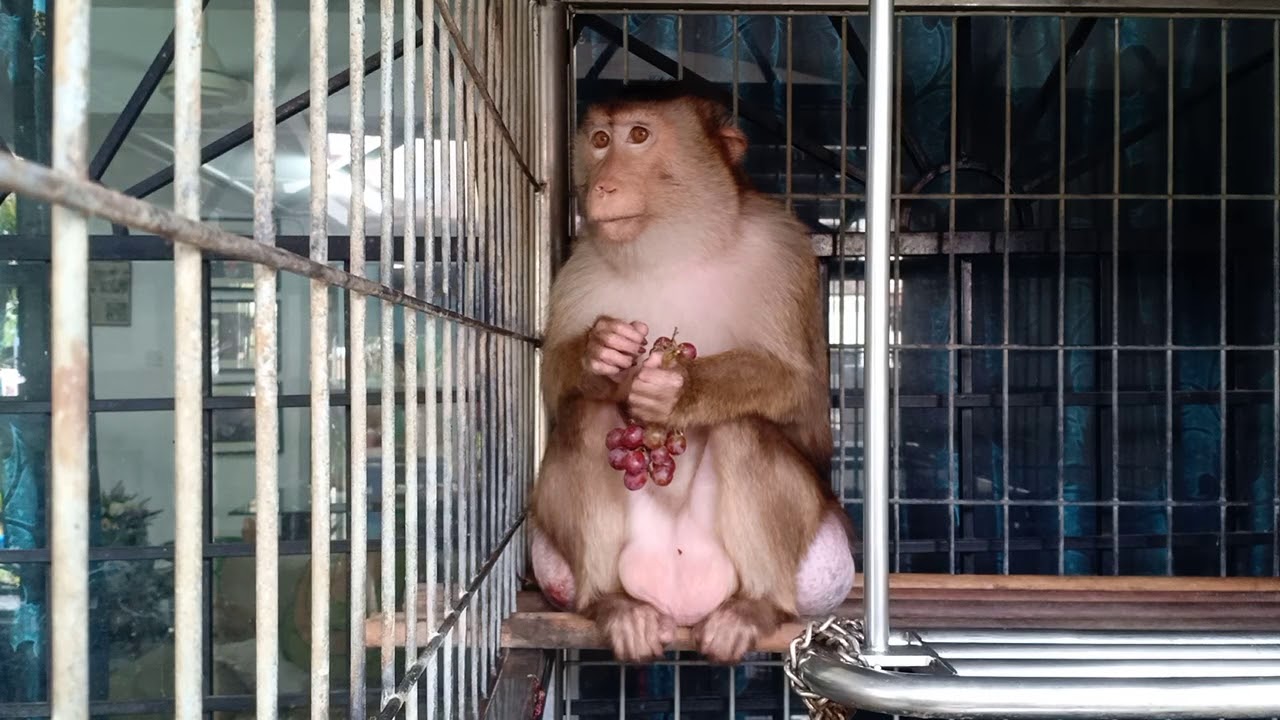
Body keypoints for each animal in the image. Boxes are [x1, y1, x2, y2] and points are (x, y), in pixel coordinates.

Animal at [528, 83, 856, 665]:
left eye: (638, 134)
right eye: (599, 139)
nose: (604, 184)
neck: (676, 250)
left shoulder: (784, 251)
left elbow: (804, 393)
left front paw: (680, 389)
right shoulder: (580, 267)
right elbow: (554, 388)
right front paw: (599, 352)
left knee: (742, 427)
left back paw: (756, 608)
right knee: (585, 416)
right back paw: (615, 605)